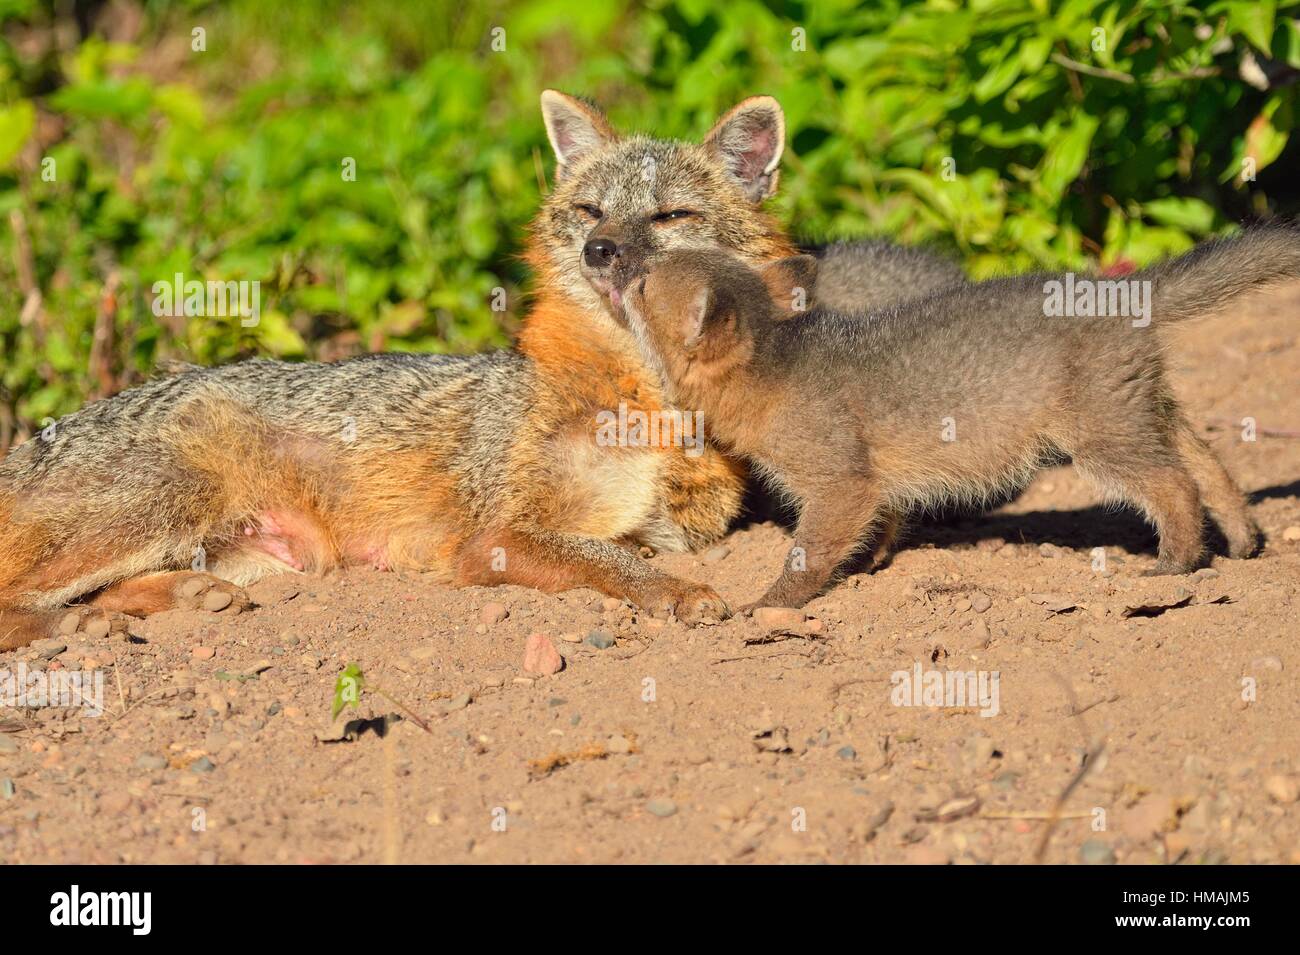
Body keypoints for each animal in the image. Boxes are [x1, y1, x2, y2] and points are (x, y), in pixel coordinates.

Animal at [0, 90, 959, 650]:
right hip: (169, 501)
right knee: (24, 599)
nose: (602, 251)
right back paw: (71, 624)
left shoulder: (665, 523)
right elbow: (605, 557)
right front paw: (676, 594)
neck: (639, 400)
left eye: (671, 215)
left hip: (269, 556)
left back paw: (175, 602)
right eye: (591, 210)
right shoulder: (498, 532)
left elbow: (629, 545)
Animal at [617, 225, 1300, 609]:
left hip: (1103, 439)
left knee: (1176, 485)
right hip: (1143, 410)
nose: (611, 255)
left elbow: (807, 555)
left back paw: (1175, 565)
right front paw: (867, 566)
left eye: (646, 282)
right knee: (1209, 462)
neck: (775, 377)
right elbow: (881, 527)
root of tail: (1115, 289)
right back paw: (1243, 541)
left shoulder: (840, 482)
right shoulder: (876, 483)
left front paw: (769, 605)